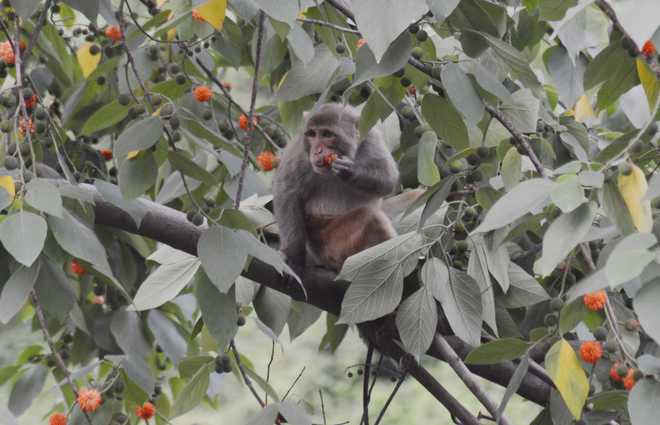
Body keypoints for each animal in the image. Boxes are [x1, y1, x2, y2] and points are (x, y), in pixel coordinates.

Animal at [272, 103, 400, 278]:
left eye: (327, 134)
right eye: (312, 134)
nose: (317, 151)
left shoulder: (371, 138)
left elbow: (388, 179)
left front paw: (351, 171)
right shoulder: (299, 151)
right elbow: (287, 191)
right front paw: (294, 256)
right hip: (325, 240)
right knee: (371, 218)